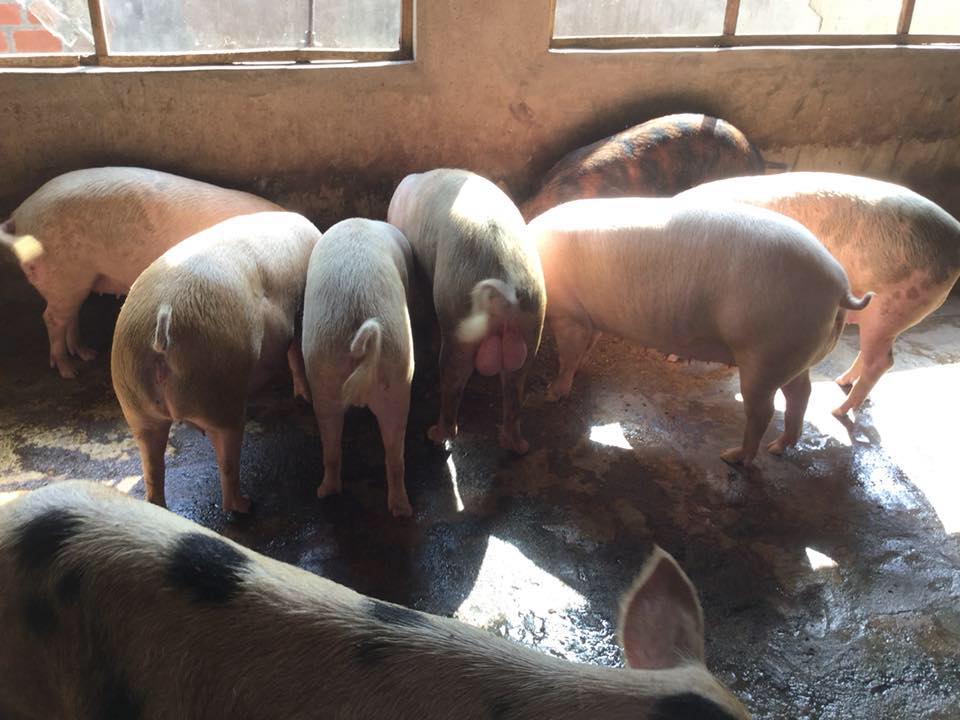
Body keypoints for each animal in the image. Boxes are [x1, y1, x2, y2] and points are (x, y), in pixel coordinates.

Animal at [0, 167, 282, 379]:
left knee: (69, 316)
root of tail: (18, 216)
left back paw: (87, 354)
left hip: (75, 281)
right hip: (63, 272)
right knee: (52, 318)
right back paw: (70, 371)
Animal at [111, 211, 319, 514]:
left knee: (152, 466)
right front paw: (305, 398)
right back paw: (245, 505)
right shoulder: (299, 315)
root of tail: (164, 316)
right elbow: (297, 355)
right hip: (220, 393)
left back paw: (159, 506)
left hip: (134, 402)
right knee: (228, 463)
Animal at [387, 169, 546, 454]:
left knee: (452, 379)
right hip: (531, 324)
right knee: (515, 387)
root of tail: (504, 281)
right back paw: (517, 446)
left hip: (457, 318)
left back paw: (435, 434)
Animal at [529, 198, 872, 466]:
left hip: (766, 355)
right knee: (801, 394)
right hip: (792, 356)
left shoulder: (569, 314)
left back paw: (733, 457)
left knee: (764, 411)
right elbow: (585, 348)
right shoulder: (589, 318)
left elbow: (568, 355)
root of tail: (840, 286)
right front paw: (578, 372)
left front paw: (551, 394)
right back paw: (778, 448)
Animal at [678, 172, 960, 416]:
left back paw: (838, 410)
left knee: (882, 362)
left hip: (895, 306)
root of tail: (954, 236)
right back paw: (841, 381)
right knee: (872, 354)